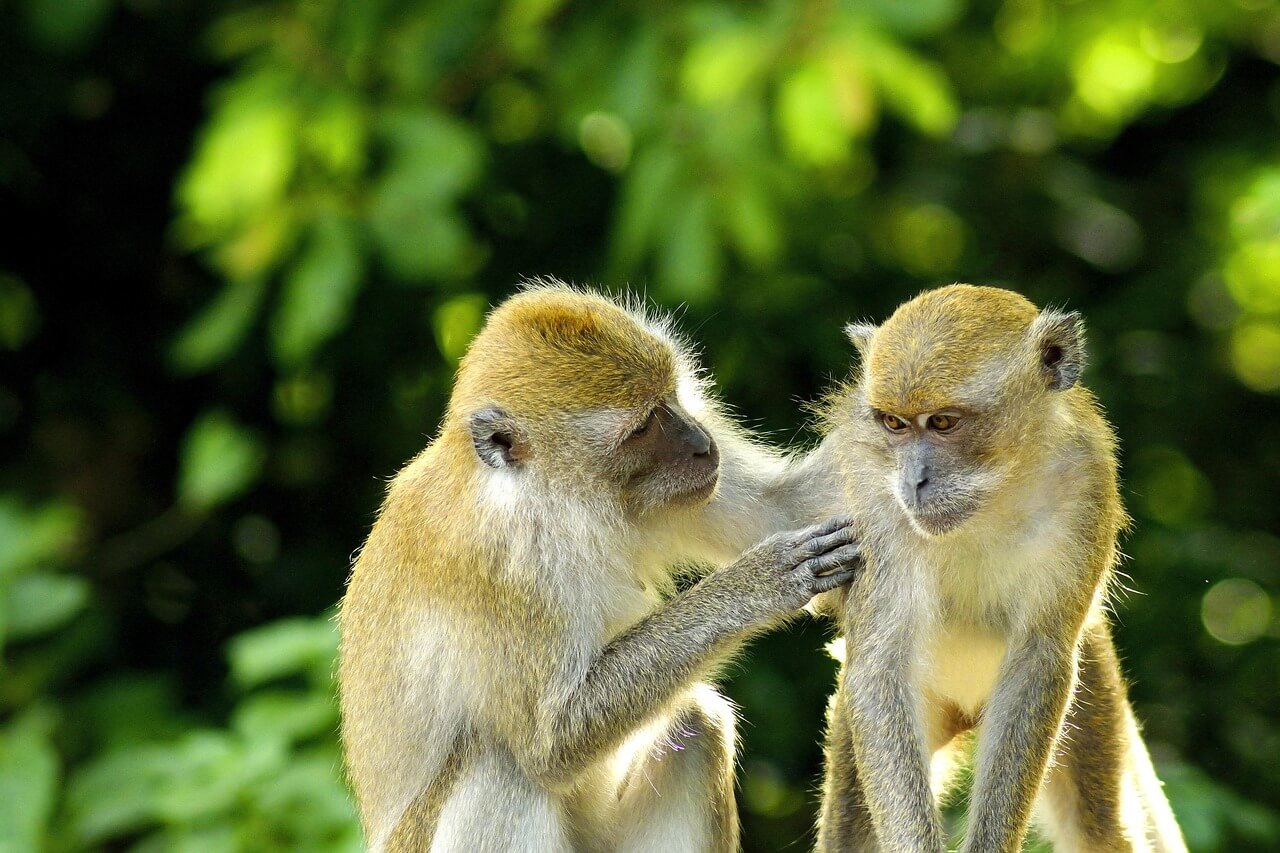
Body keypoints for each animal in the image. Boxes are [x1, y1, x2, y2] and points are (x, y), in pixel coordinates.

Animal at [337, 281, 862, 853]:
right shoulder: (499, 565)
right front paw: (760, 582)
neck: (551, 500)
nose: (703, 445)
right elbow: (551, 742)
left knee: (694, 726)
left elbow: (783, 508)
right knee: (502, 766)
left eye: (670, 398)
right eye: (642, 427)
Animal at [812, 284, 1186, 852]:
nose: (914, 482)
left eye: (943, 423)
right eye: (894, 424)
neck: (997, 490)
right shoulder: (874, 498)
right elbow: (880, 663)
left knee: (1102, 825)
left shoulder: (1087, 484)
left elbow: (1039, 657)